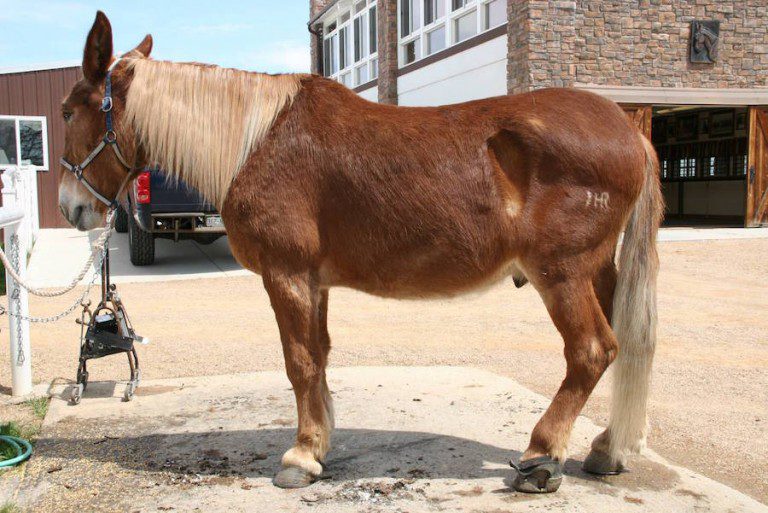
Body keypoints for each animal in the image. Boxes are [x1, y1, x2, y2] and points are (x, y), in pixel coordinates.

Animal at [58, 12, 663, 493]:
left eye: (66, 111)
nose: (71, 207)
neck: (256, 140)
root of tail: (629, 130)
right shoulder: (315, 281)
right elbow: (319, 356)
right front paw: (320, 440)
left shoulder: (286, 274)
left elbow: (300, 361)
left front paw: (301, 455)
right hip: (596, 270)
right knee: (625, 344)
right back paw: (607, 449)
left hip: (560, 273)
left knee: (592, 351)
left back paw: (542, 456)